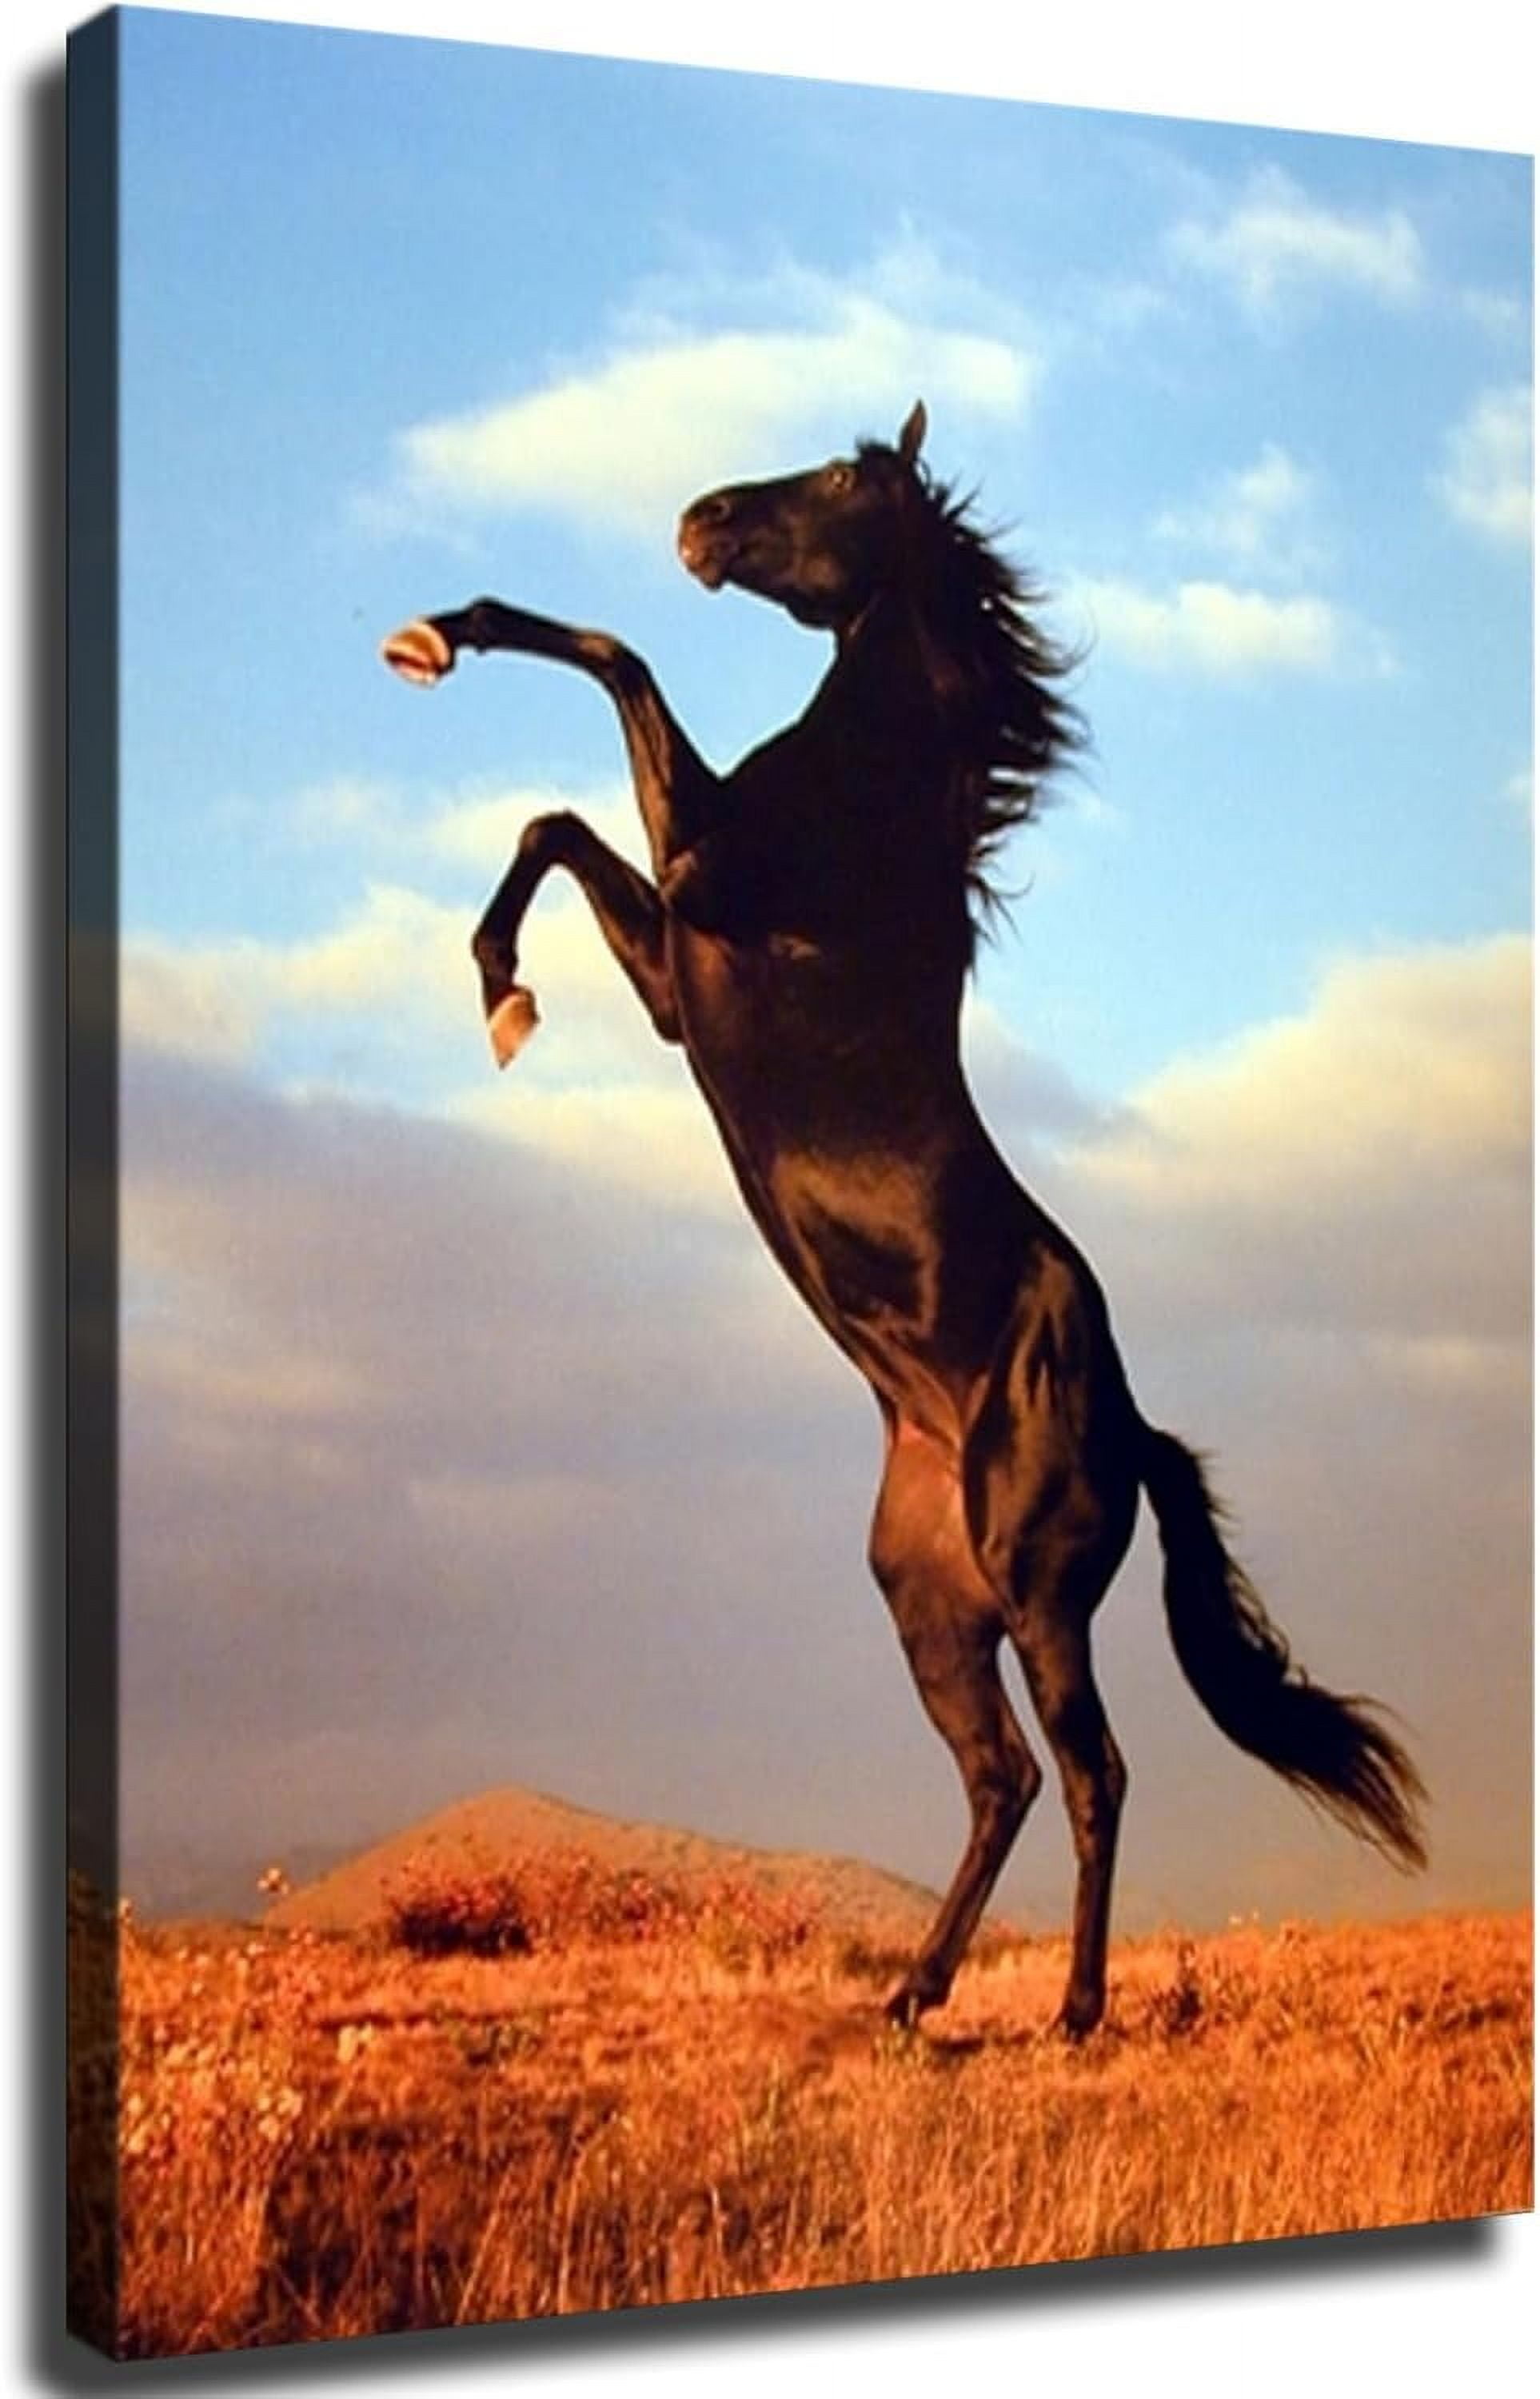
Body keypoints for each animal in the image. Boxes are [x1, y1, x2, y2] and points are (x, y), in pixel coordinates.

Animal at [381, 401, 1425, 2034]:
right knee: (1001, 1779)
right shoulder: (678, 972)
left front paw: (442, 670)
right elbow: (554, 813)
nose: (697, 518)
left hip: (1041, 1597)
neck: (873, 805)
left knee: (1092, 1772)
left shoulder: (705, 885)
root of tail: (1135, 1427)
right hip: (931, 1606)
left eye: (839, 479)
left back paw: (1070, 2016)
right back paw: (912, 2001)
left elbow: (614, 668)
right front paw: (500, 980)